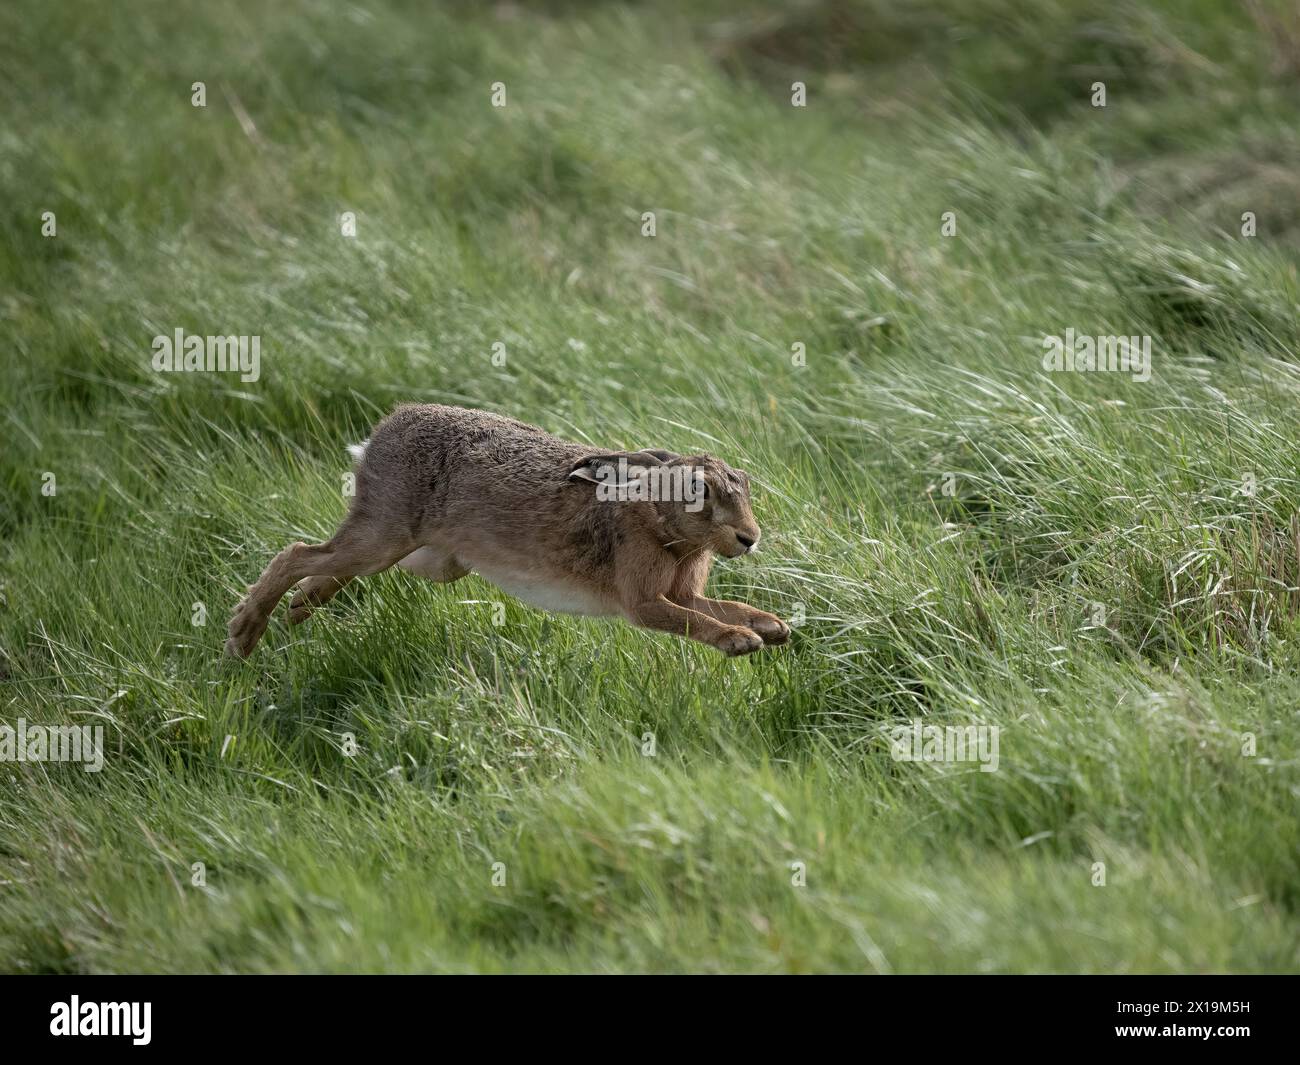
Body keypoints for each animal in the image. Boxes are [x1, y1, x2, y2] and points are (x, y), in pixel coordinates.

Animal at [225, 403, 791, 658]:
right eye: (696, 491)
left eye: (744, 484)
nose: (750, 538)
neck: (656, 516)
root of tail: (375, 439)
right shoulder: (644, 601)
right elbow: (688, 619)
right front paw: (741, 641)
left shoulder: (682, 589)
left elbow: (719, 606)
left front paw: (771, 627)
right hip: (386, 534)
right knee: (299, 553)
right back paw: (244, 634)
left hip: (432, 557)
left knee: (334, 562)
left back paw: (300, 607)